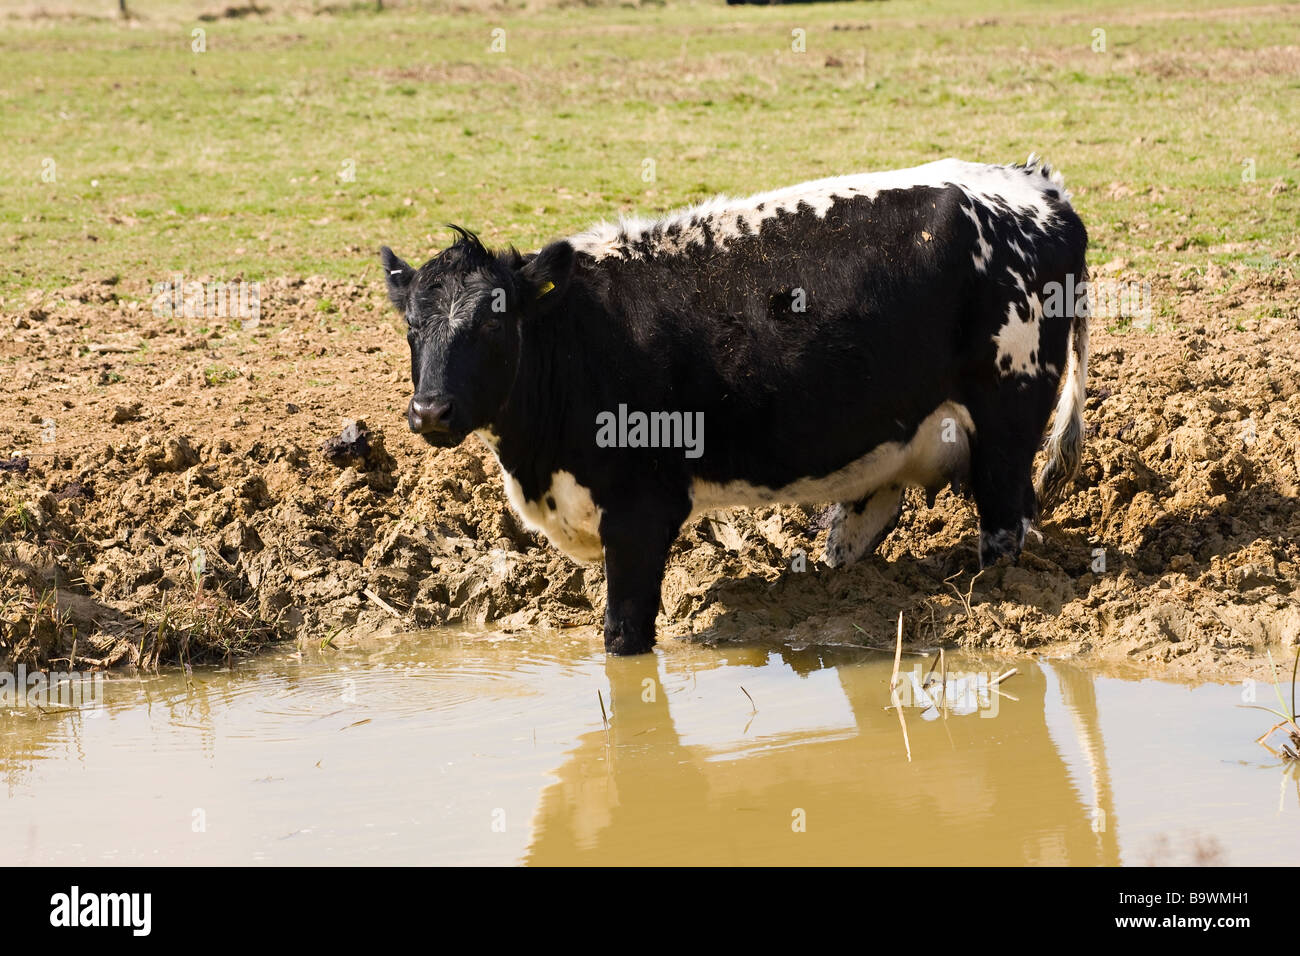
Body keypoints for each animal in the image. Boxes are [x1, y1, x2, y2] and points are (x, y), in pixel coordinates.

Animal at [380, 156, 1089, 656]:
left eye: (494, 325)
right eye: (411, 326)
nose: (430, 412)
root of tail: (1037, 188)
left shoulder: (640, 513)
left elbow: (624, 637)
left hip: (1006, 424)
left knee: (1004, 529)